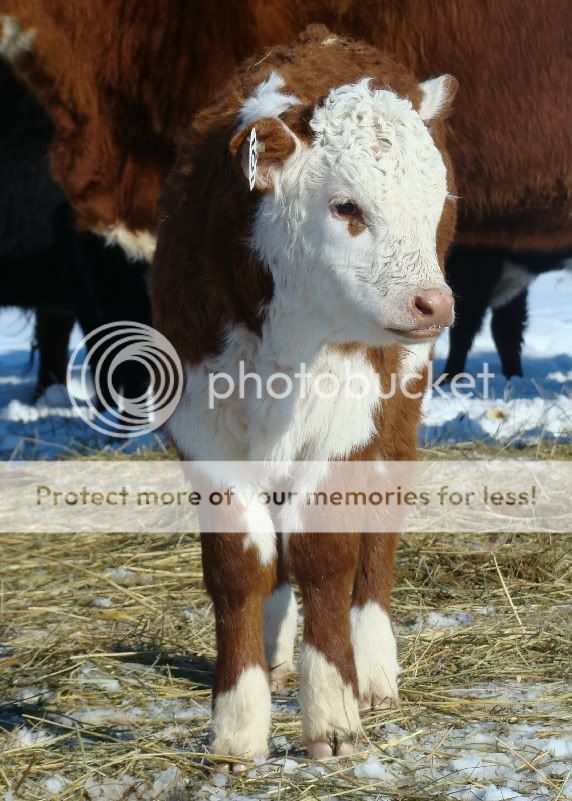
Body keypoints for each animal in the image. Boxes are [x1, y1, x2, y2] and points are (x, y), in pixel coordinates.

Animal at [152, 29, 457, 767]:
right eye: (346, 206)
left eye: (435, 200)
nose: (434, 303)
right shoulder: (201, 421)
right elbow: (239, 562)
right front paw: (237, 724)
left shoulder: (344, 418)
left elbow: (325, 552)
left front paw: (333, 715)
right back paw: (275, 652)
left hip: (401, 393)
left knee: (380, 519)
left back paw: (371, 666)